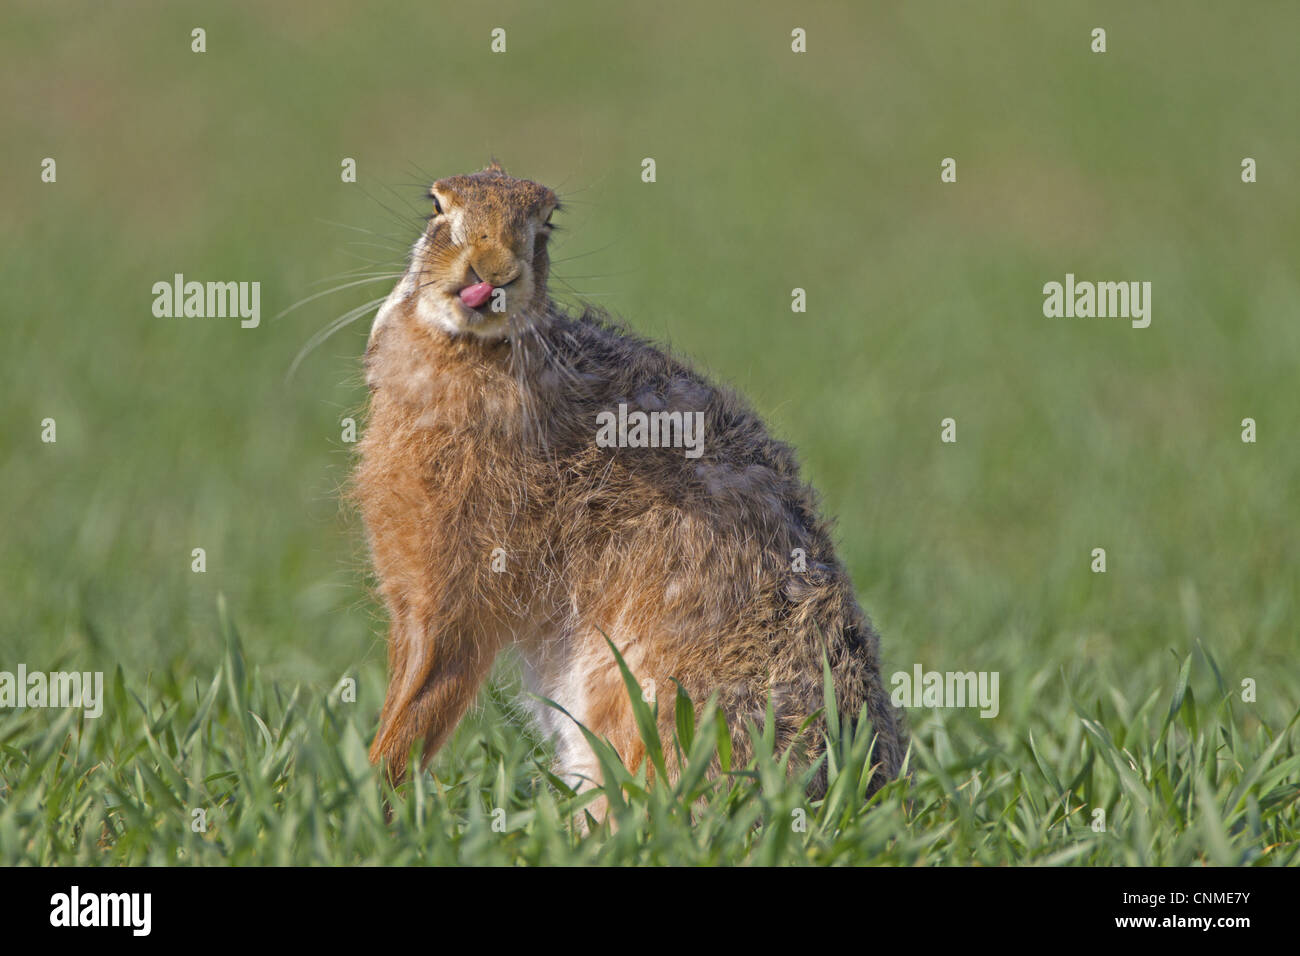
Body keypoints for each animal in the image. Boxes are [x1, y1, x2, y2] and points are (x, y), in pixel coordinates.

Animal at [355, 162, 905, 813]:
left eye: (546, 222)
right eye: (437, 207)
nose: (493, 273)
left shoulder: (455, 600)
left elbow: (425, 698)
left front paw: (372, 794)